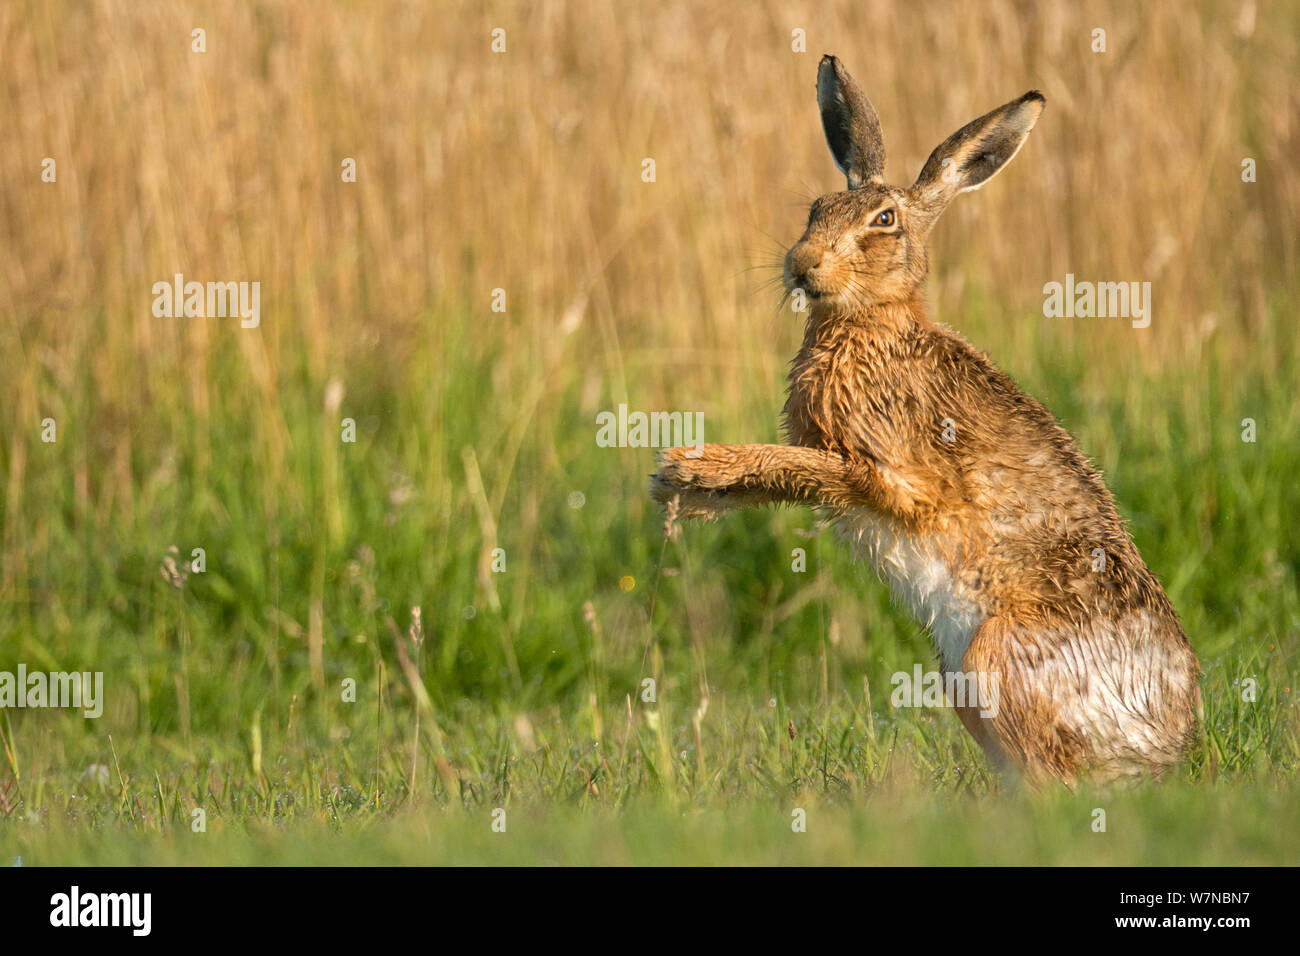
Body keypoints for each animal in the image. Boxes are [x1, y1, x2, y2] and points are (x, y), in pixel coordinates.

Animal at [650, 55, 1201, 787]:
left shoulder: (898, 477)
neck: (872, 323)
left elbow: (802, 468)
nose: (802, 265)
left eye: (883, 219)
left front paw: (691, 468)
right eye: (815, 210)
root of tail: (1162, 744)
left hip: (994, 656)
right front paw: (683, 489)